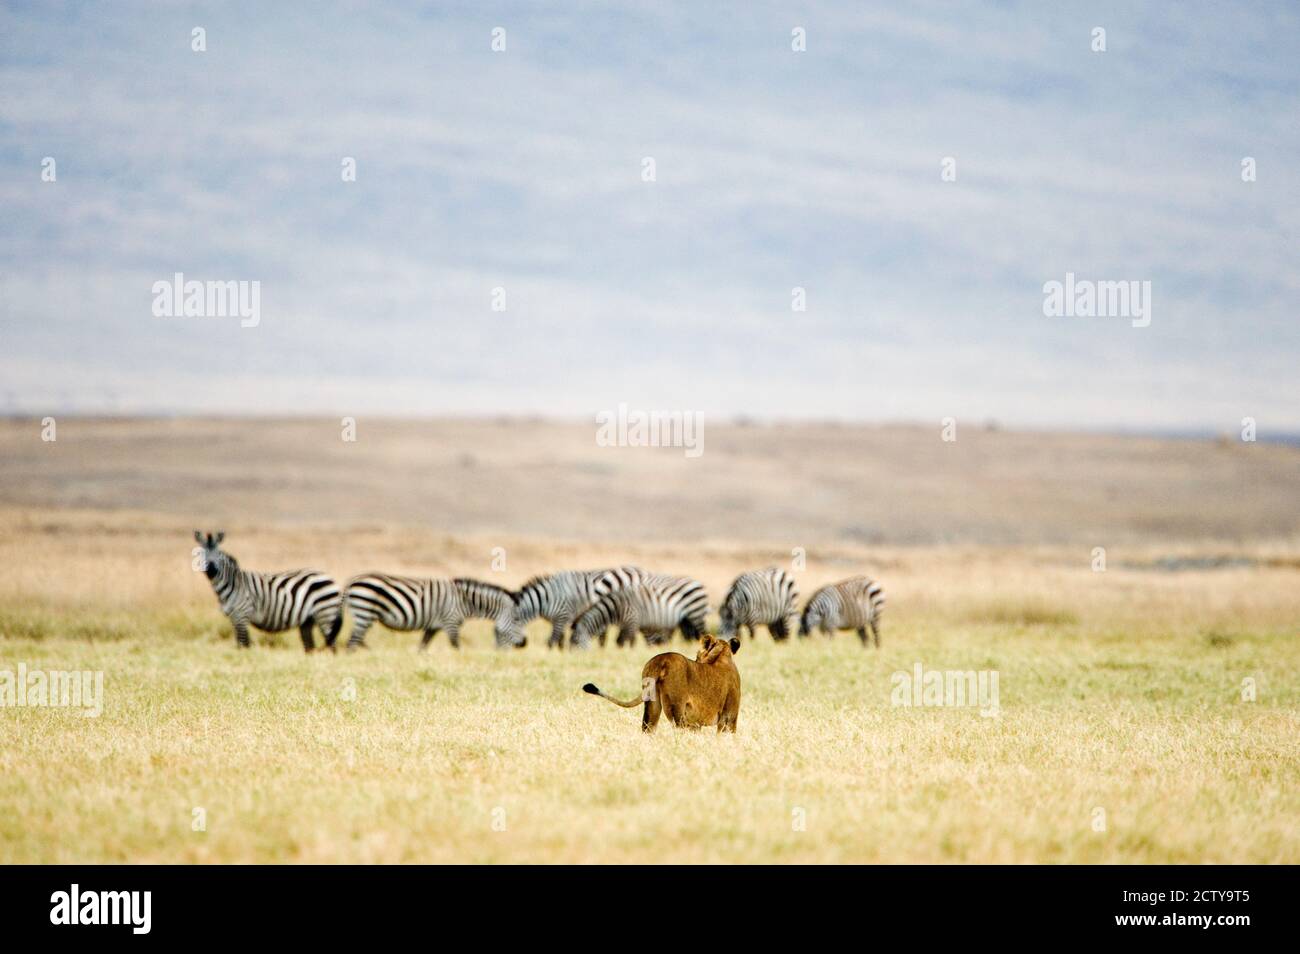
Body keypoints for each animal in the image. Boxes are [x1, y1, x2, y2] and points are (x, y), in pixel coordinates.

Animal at [193, 530, 343, 652]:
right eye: (201, 553)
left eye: (217, 553)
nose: (211, 570)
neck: (231, 583)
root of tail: (330, 578)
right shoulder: (234, 618)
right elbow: (240, 644)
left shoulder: (242, 614)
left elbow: (244, 644)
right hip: (308, 619)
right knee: (310, 646)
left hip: (325, 613)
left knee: (332, 645)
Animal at [344, 573, 527, 650]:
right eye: (517, 620)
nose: (524, 643)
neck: (463, 600)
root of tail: (351, 583)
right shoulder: (451, 622)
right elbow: (456, 647)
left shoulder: (433, 627)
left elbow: (423, 647)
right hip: (364, 611)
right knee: (352, 642)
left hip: (366, 615)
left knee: (357, 640)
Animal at [515, 567, 644, 649]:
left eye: (515, 620)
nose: (522, 645)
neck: (547, 598)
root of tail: (639, 572)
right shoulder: (559, 619)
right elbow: (561, 638)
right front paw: (562, 650)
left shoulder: (562, 615)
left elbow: (554, 639)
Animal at [569, 575, 709, 649]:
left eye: (575, 642)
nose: (571, 655)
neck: (616, 608)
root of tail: (699, 584)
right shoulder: (631, 624)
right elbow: (629, 640)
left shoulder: (632, 620)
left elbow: (621, 641)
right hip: (686, 621)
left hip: (696, 614)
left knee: (703, 633)